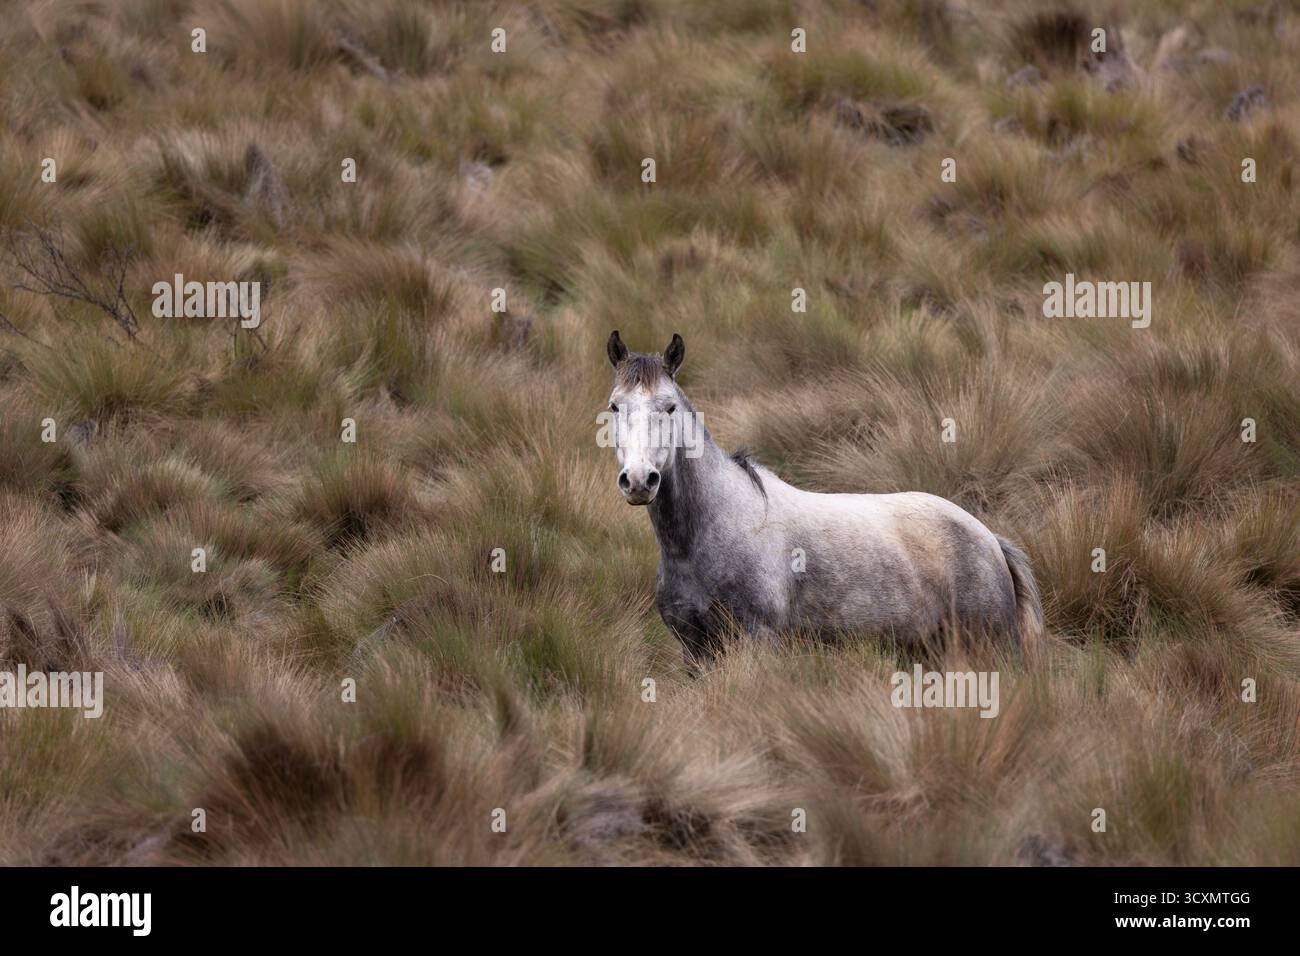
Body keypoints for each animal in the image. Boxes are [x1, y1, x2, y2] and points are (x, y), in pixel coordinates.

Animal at [603, 330, 1044, 666]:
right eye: (614, 406)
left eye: (669, 407)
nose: (639, 481)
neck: (708, 531)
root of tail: (988, 538)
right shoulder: (695, 650)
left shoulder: (759, 641)